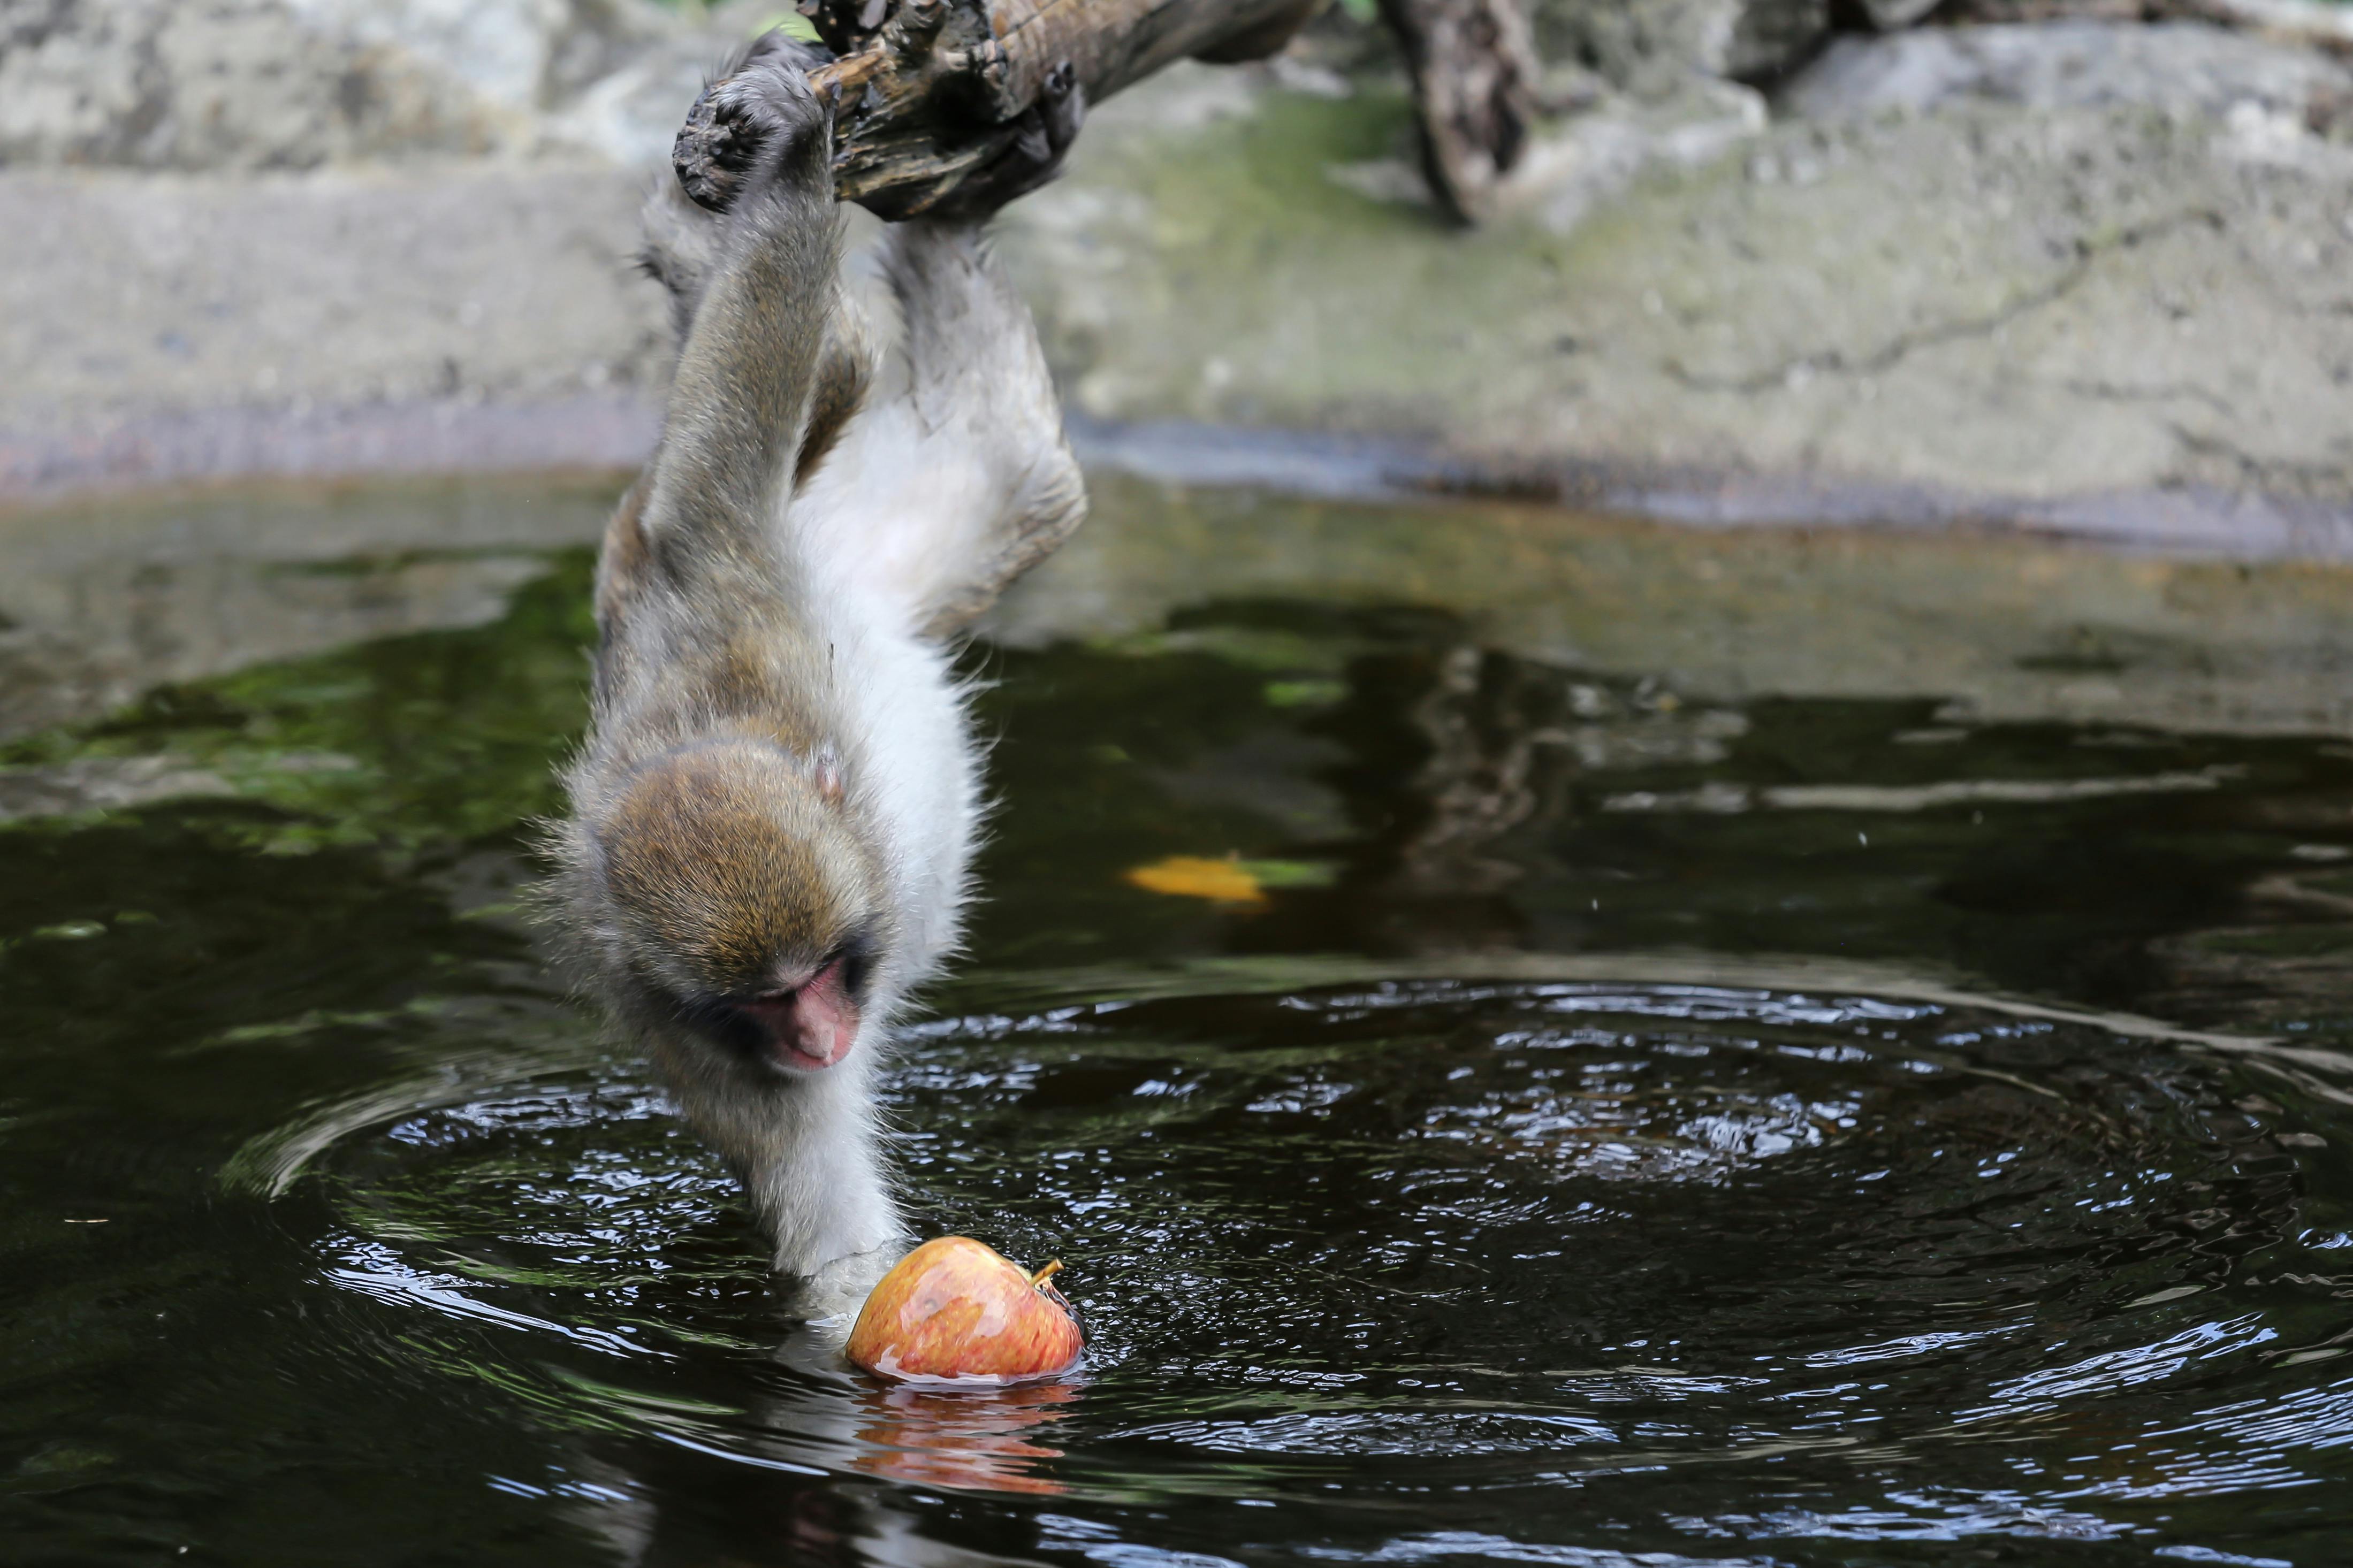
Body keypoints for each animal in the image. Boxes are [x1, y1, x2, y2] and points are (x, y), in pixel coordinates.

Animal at [545, 31, 1086, 1287]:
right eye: (767, 1000)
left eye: (826, 972)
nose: (823, 1037)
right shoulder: (692, 1038)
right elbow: (833, 1234)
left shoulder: (734, 577)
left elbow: (718, 466)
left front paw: (792, 156)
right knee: (1026, 473)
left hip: (802, 533)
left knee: (819, 365)